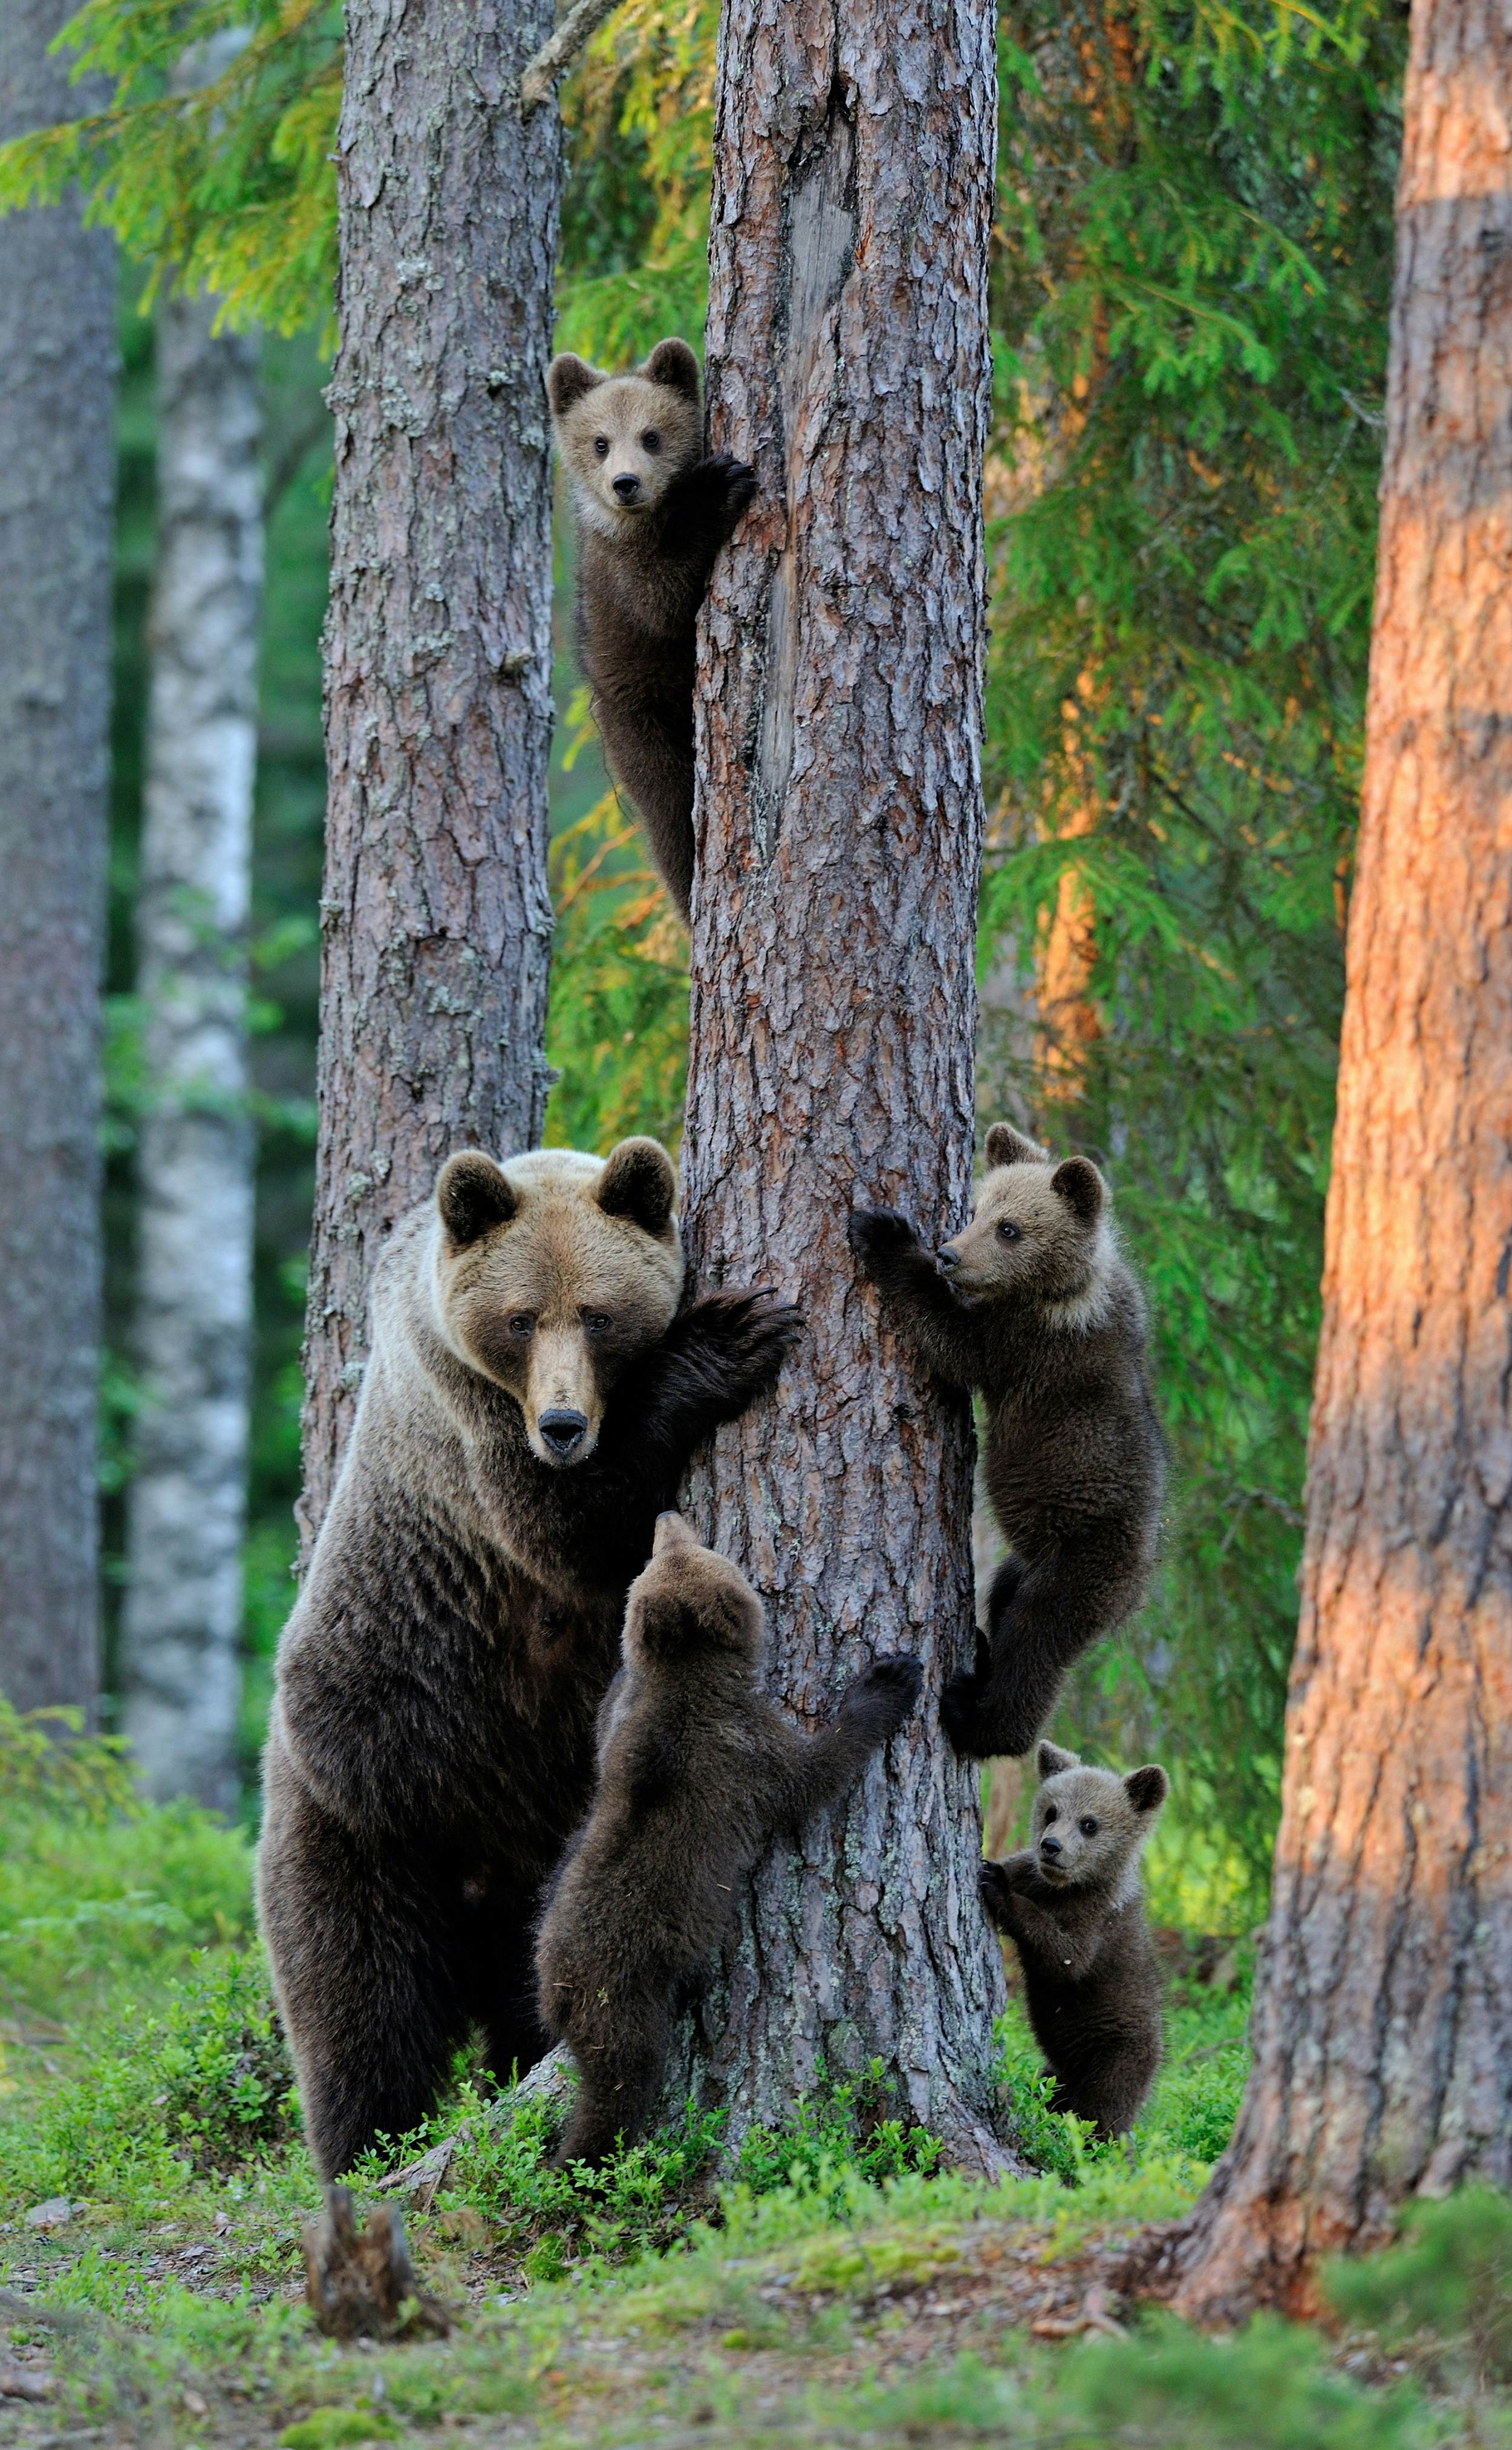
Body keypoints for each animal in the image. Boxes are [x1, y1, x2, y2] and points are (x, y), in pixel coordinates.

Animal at [257, 1139, 801, 2182]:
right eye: (519, 1317)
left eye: (597, 1311)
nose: (561, 1423)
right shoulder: (468, 1425)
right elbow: (572, 1532)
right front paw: (731, 1336)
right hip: (366, 1804)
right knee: (360, 2011)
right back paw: (363, 2154)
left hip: (543, 1869)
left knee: (520, 2005)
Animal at [535, 1512, 924, 2168]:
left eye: (672, 1549)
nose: (667, 1517)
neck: (689, 1680)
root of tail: (559, 1995)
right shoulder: (748, 1753)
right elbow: (815, 1774)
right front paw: (888, 1680)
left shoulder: (623, 1729)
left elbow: (607, 1720)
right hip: (626, 2002)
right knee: (620, 2087)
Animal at [548, 336, 755, 924]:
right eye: (599, 442)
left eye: (652, 435)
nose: (626, 483)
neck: (647, 520)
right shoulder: (621, 579)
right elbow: (662, 601)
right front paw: (715, 488)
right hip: (639, 722)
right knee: (670, 818)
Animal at [848, 1123, 1164, 1760]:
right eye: (978, 1210)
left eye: (1011, 1228)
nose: (949, 1254)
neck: (1063, 1290)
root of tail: (1140, 1581)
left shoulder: (1028, 1347)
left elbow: (955, 1341)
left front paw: (885, 1234)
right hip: (1028, 1561)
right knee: (1003, 1597)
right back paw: (978, 1651)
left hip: (1081, 1562)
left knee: (1037, 1643)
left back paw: (979, 1719)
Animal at [979, 1740, 1169, 2140]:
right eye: (1052, 1811)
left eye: (1090, 1823)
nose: (1052, 1846)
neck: (1065, 1888)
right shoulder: (1030, 1871)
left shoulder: (1097, 1921)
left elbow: (1066, 1959)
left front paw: (998, 1889)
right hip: (1059, 2073)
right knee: (1053, 2090)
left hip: (1118, 2055)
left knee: (1103, 2115)